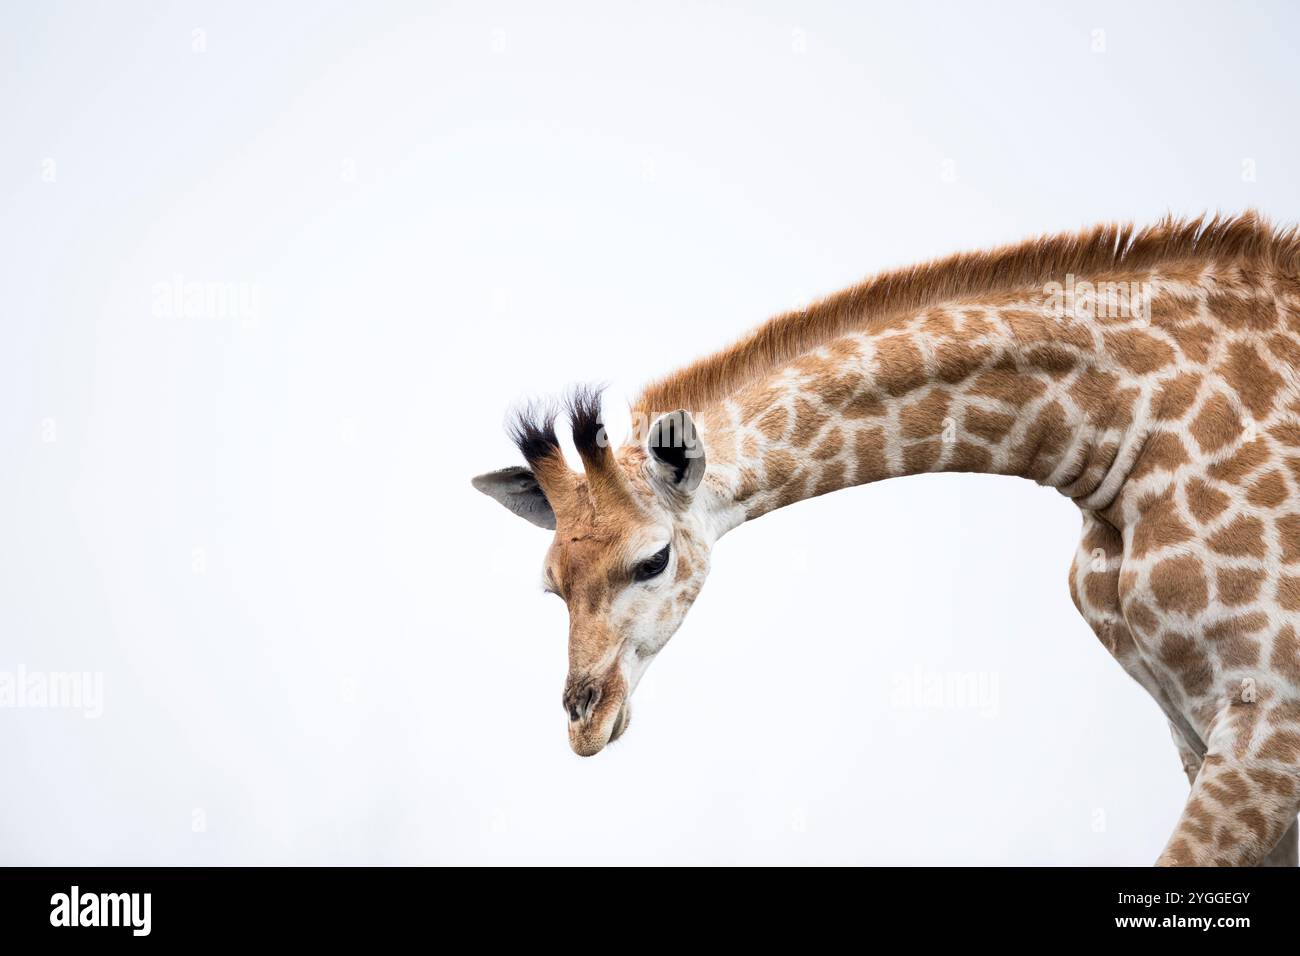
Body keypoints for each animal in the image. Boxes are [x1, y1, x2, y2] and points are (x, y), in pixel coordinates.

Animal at [473, 213, 1300, 866]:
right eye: (551, 584)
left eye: (654, 559)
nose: (585, 723)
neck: (1124, 426)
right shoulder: (1195, 731)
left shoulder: (1268, 712)